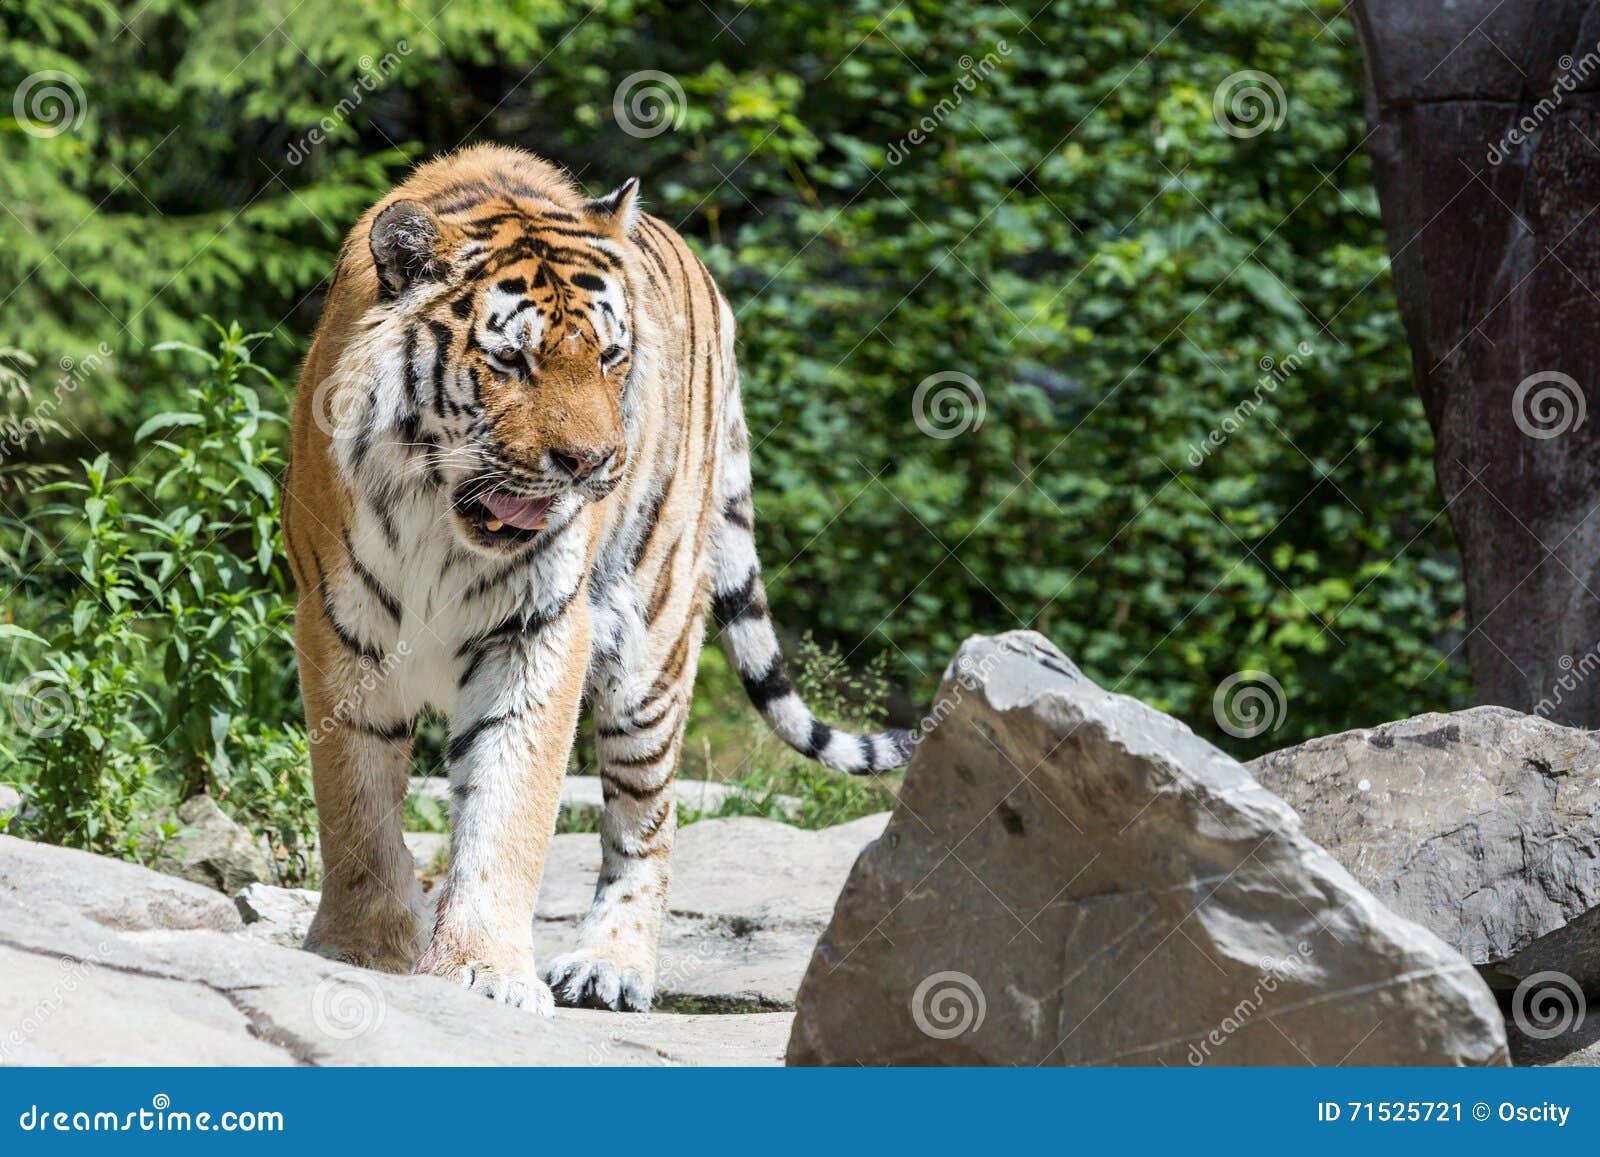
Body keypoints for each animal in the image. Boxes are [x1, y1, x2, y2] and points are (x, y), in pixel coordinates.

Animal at [283, 143, 913, 1014]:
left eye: (611, 357)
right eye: (510, 360)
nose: (591, 464)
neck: (438, 519)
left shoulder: (538, 632)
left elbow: (511, 807)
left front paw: (484, 968)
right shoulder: (340, 629)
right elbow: (357, 809)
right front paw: (363, 948)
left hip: (653, 654)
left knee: (646, 824)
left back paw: (608, 966)